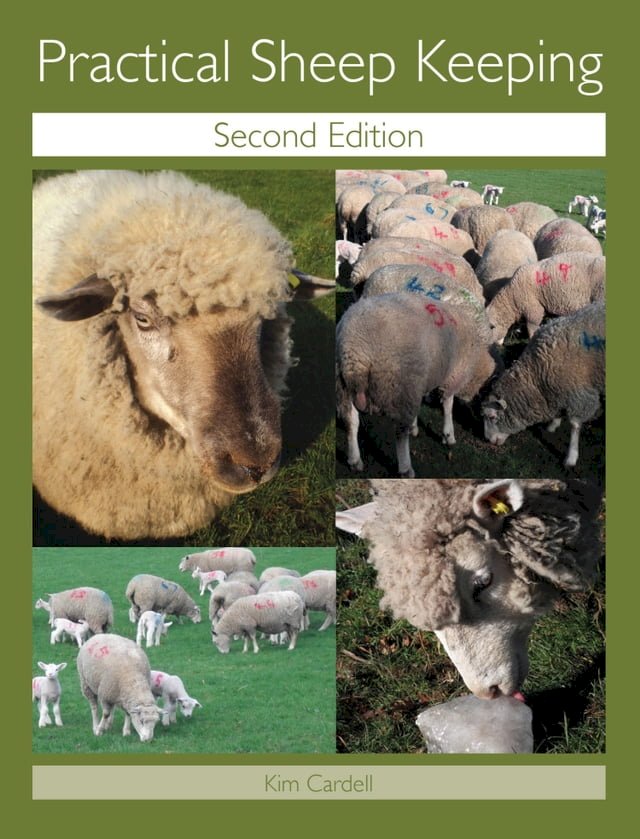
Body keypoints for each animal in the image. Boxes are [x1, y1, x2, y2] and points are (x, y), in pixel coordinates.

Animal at [336, 292, 497, 477]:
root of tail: (356, 347)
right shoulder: (452, 375)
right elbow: (448, 405)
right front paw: (448, 434)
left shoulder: (420, 379)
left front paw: (415, 426)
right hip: (399, 383)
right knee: (400, 432)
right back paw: (406, 468)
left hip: (344, 384)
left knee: (350, 421)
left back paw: (355, 460)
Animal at [482, 302, 605, 467]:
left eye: (492, 417)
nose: (487, 440)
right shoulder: (560, 389)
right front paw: (553, 424)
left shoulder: (580, 393)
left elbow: (575, 425)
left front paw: (571, 457)